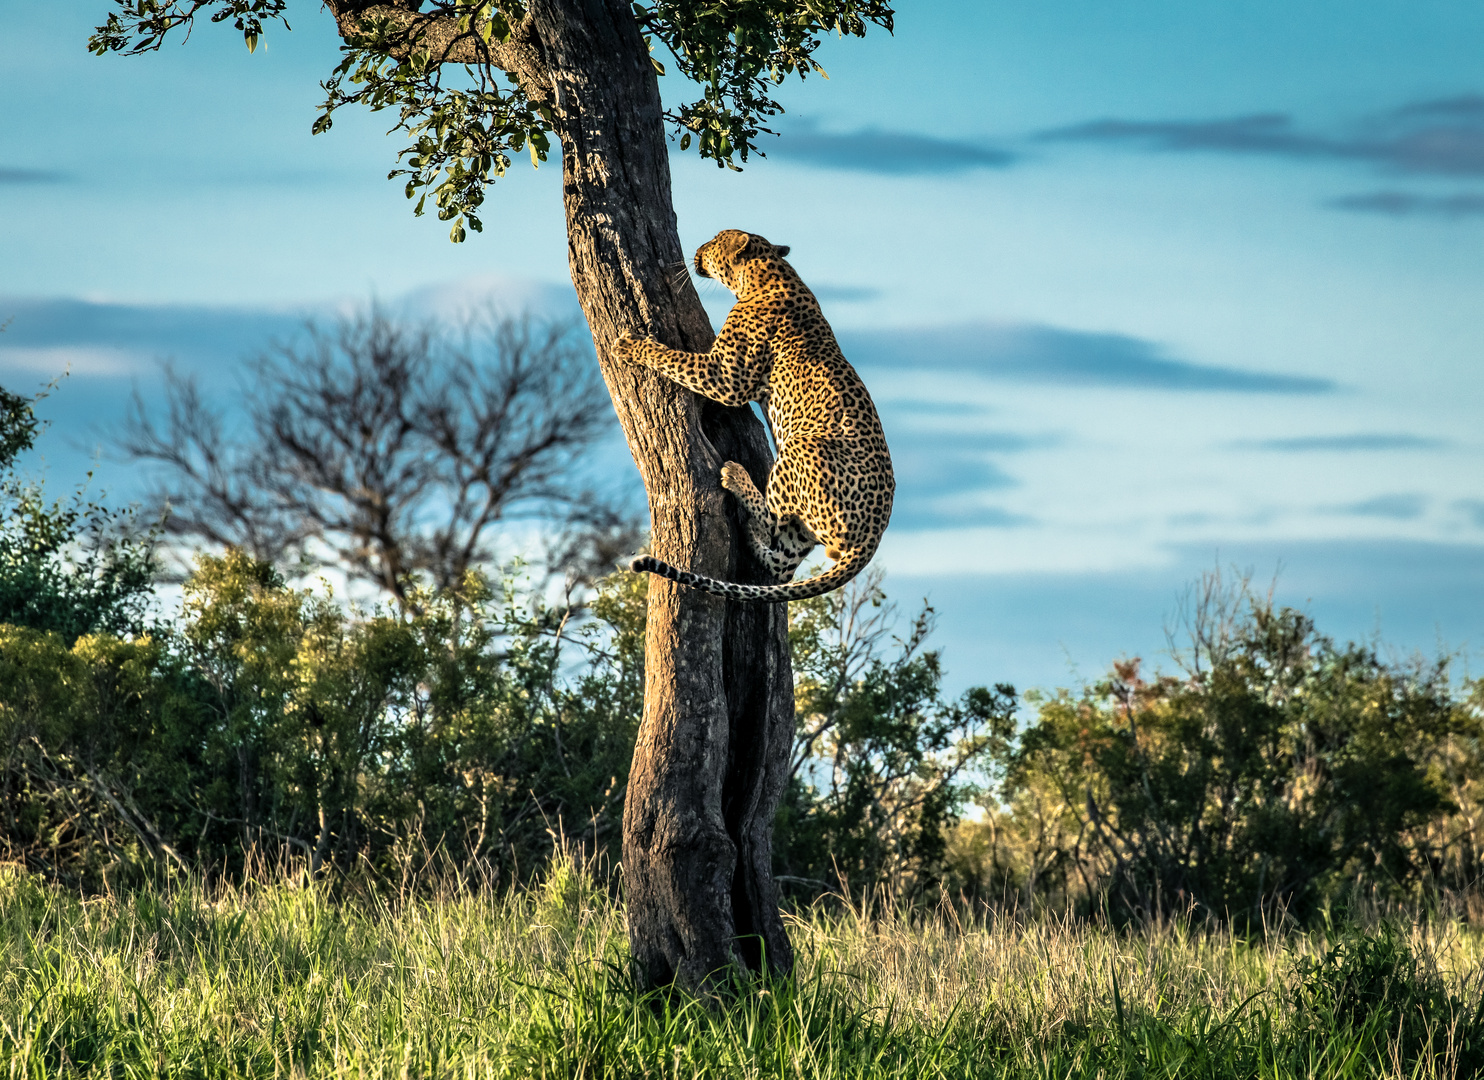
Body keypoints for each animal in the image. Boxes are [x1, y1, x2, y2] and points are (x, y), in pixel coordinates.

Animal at [614, 226, 890, 602]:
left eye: (717, 238)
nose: (697, 248)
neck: (766, 271)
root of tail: (872, 538)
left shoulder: (725, 377)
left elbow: (673, 358)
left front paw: (631, 345)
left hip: (803, 446)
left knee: (775, 520)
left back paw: (735, 476)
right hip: (803, 532)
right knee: (782, 563)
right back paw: (752, 539)